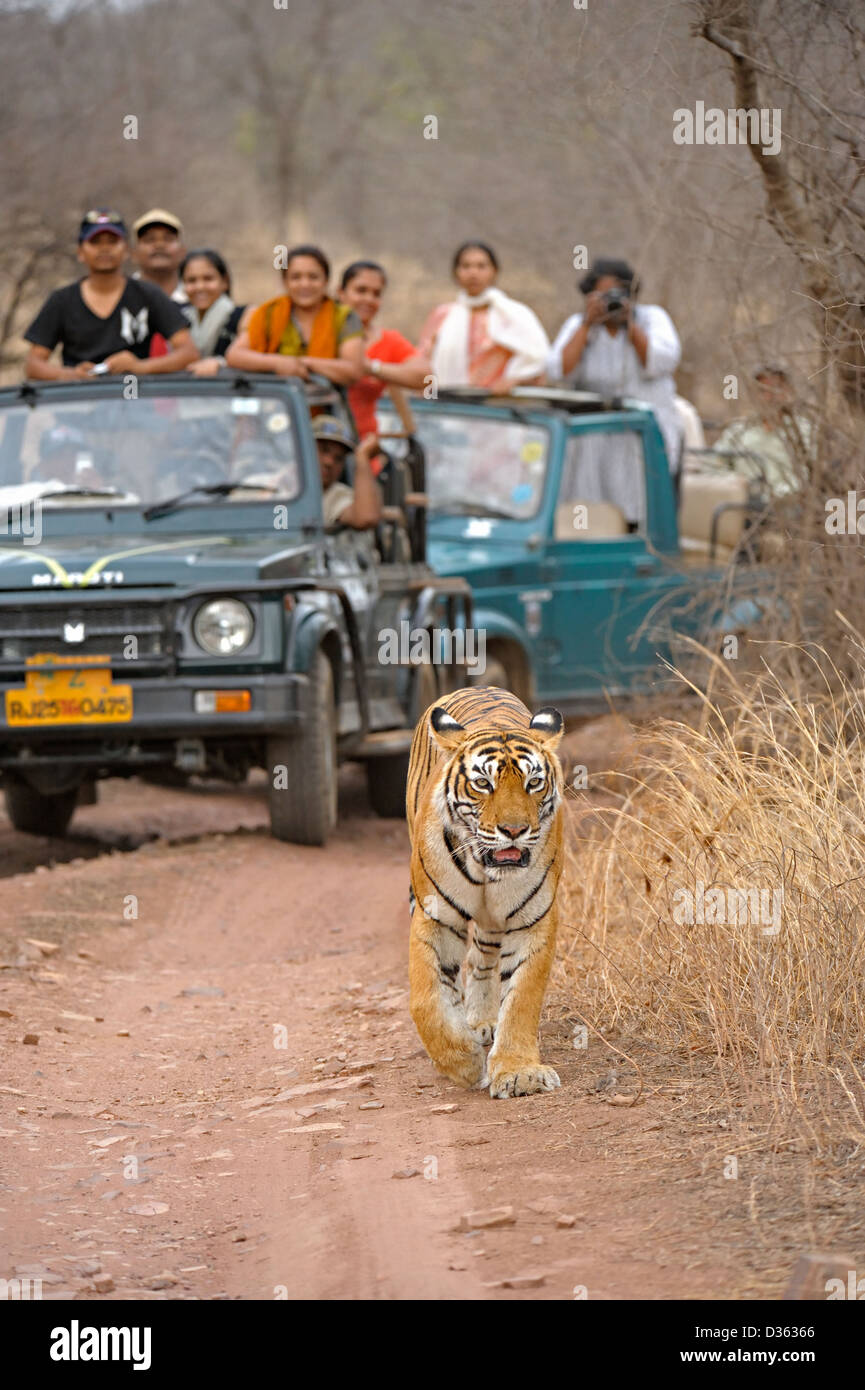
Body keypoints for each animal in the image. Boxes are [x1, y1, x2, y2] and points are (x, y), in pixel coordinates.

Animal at [406, 685, 565, 1099]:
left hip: (495, 922)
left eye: (533, 783)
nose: (514, 830)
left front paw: (518, 1072)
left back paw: (480, 1021)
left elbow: (522, 999)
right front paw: (462, 1063)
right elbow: (426, 999)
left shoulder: (532, 921)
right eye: (483, 783)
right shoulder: (434, 917)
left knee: (481, 959)